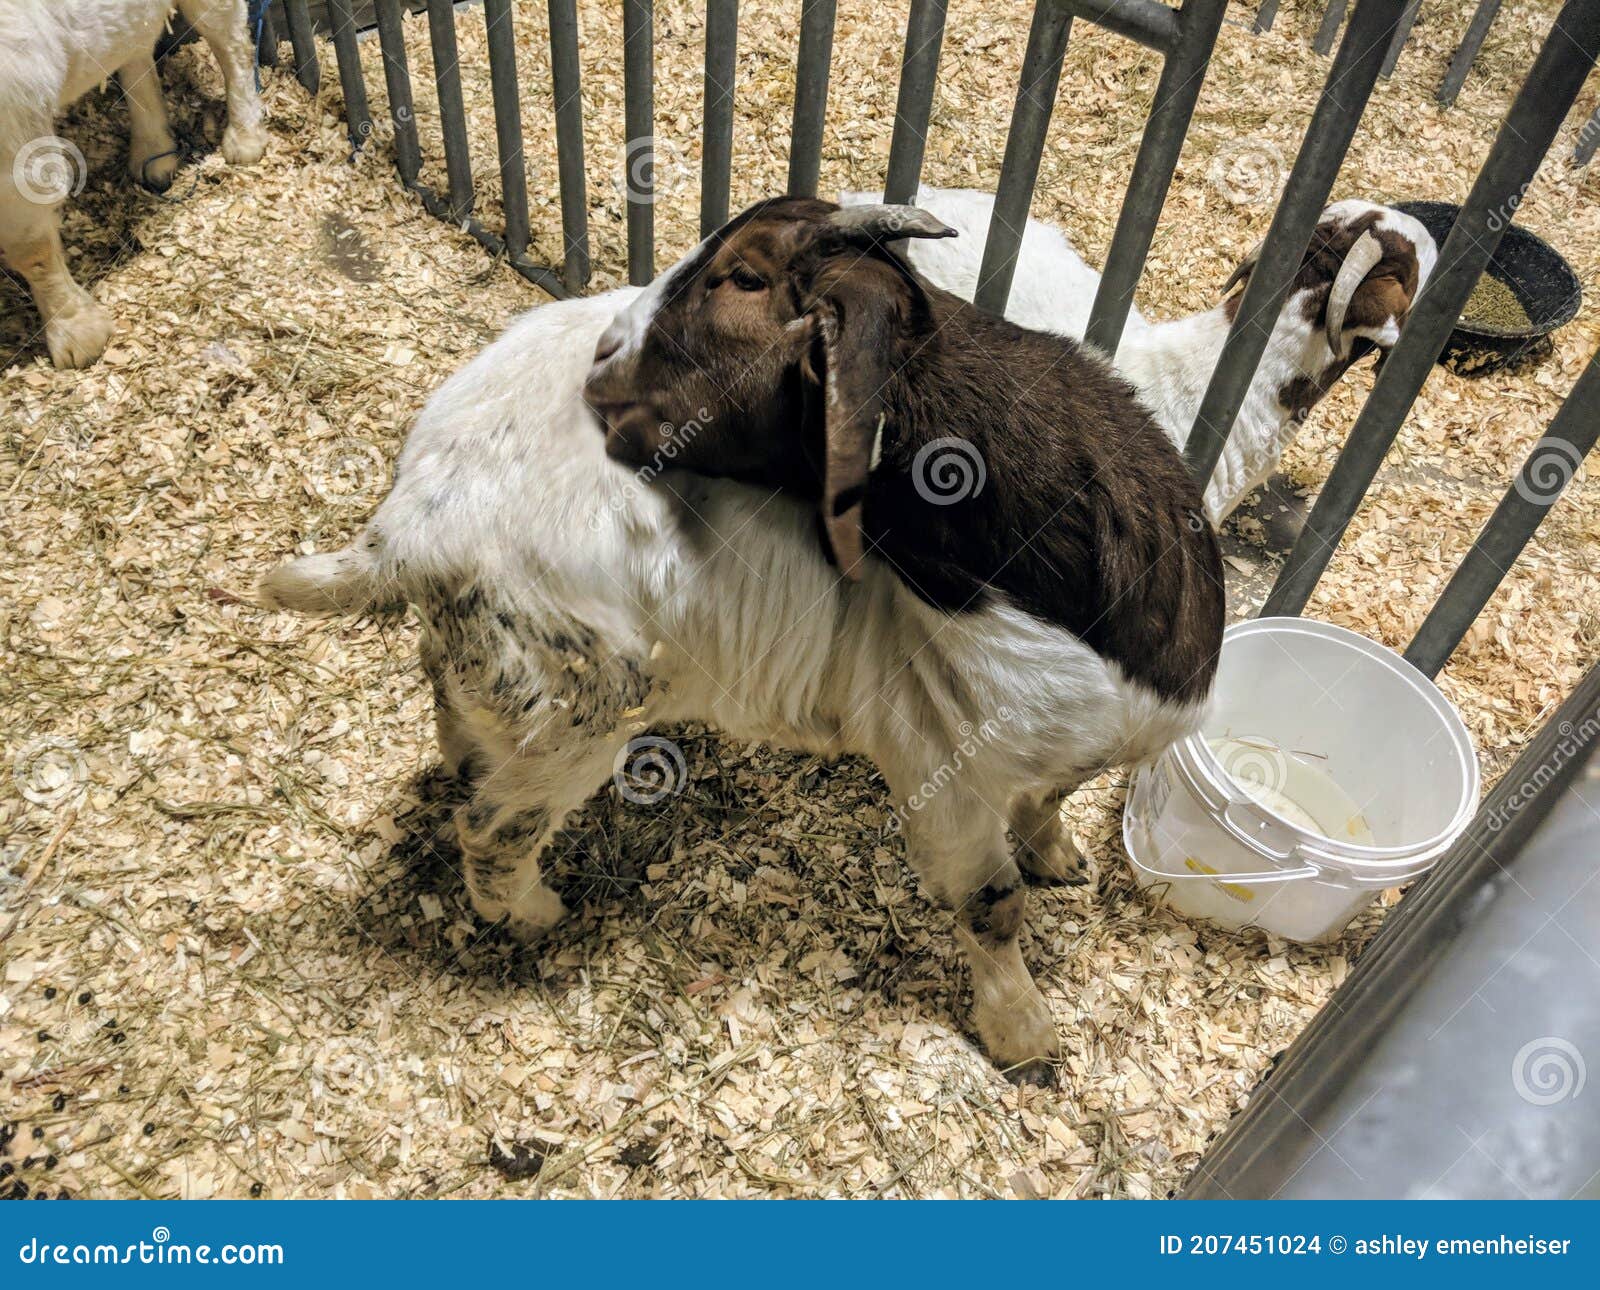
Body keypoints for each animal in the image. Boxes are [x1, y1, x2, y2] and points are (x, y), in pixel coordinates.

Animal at [1, 1, 267, 368]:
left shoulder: (15, 135)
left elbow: (32, 250)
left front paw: (76, 332)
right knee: (136, 45)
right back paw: (154, 152)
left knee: (232, 42)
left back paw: (245, 135)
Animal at [261, 200, 1224, 1077]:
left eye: (743, 278)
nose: (602, 352)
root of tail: (403, 532)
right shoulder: (939, 766)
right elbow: (991, 905)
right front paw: (1024, 1039)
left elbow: (1057, 795)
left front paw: (1061, 856)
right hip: (573, 717)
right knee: (493, 827)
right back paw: (534, 914)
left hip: (493, 674)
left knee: (455, 723)